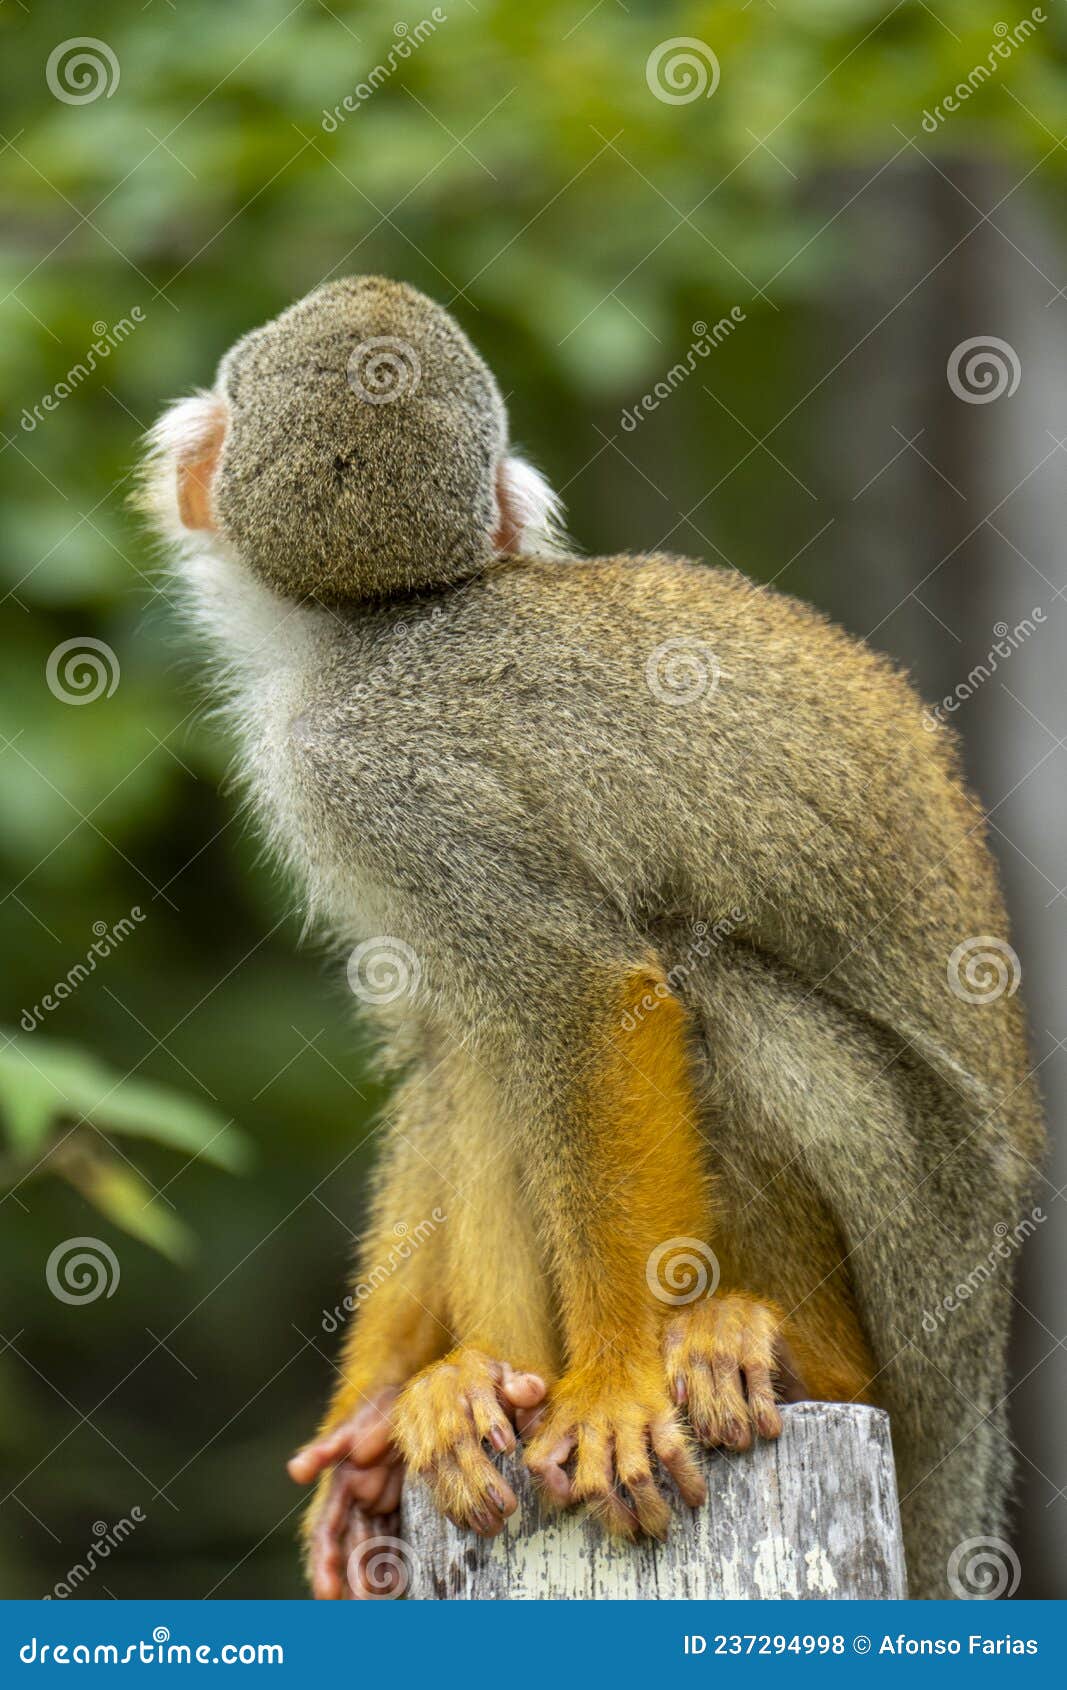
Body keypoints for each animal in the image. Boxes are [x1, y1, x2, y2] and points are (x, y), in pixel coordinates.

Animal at [139, 275, 1044, 1601]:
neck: (374, 631)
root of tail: (973, 1390)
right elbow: (443, 1034)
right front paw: (372, 1418)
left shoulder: (358, 774)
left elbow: (586, 994)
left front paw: (615, 1378)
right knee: (490, 1041)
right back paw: (476, 1387)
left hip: (918, 1248)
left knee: (704, 990)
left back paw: (783, 1355)